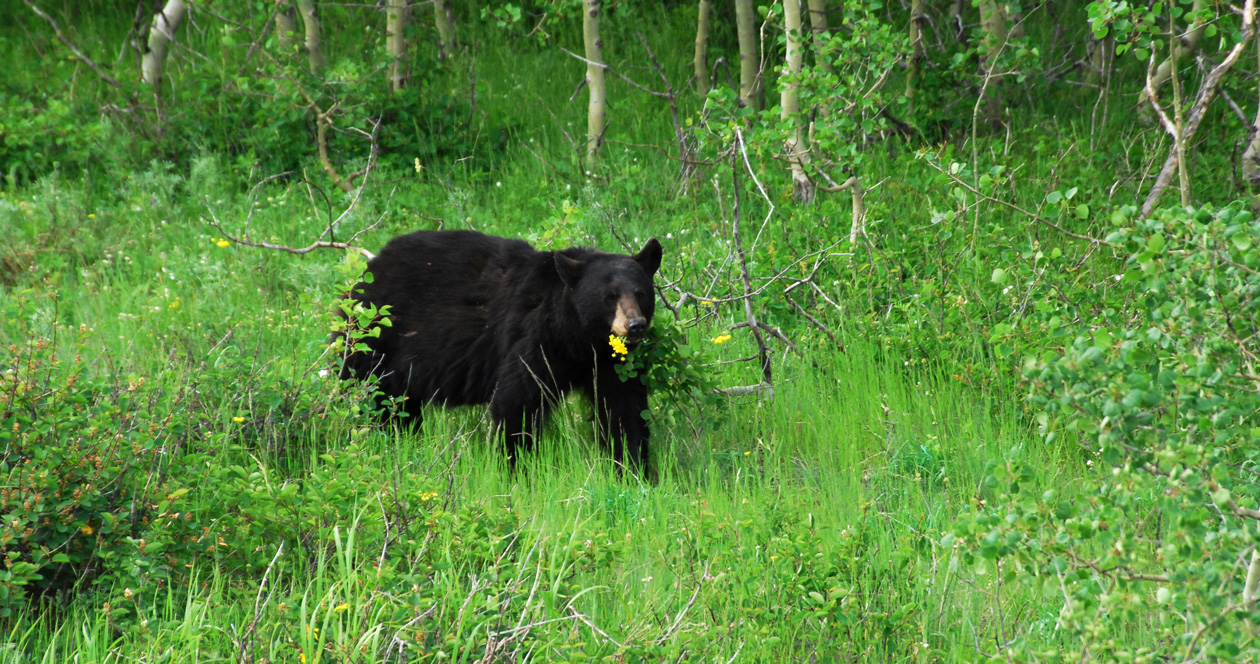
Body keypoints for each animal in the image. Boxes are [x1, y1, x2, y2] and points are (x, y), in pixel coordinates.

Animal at [338, 229, 663, 474]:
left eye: (641, 293)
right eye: (609, 296)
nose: (635, 325)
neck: (579, 337)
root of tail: (368, 270)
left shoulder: (609, 362)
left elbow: (623, 409)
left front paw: (634, 471)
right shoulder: (534, 339)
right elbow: (518, 400)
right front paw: (516, 469)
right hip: (373, 338)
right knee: (369, 395)